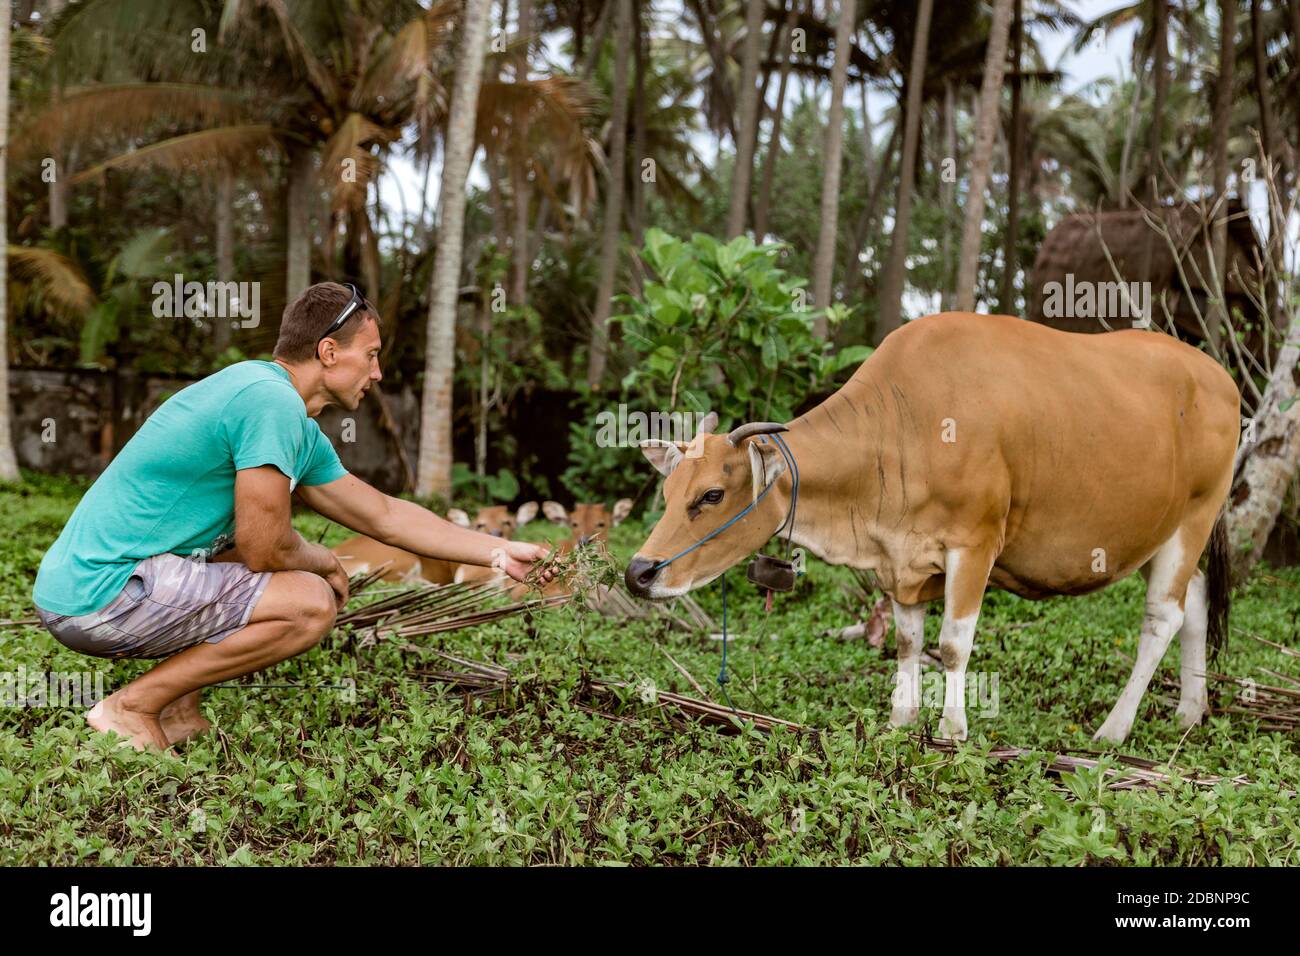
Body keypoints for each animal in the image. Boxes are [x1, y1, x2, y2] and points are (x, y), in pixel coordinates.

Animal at [624, 313, 1239, 744]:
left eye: (711, 495)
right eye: (668, 493)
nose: (638, 573)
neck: (903, 425)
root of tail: (1220, 378)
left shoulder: (976, 543)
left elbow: (952, 643)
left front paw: (952, 727)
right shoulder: (900, 558)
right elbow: (907, 640)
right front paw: (902, 715)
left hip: (1195, 516)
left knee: (1163, 618)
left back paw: (1114, 729)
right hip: (1161, 532)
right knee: (1198, 597)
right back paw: (1189, 711)